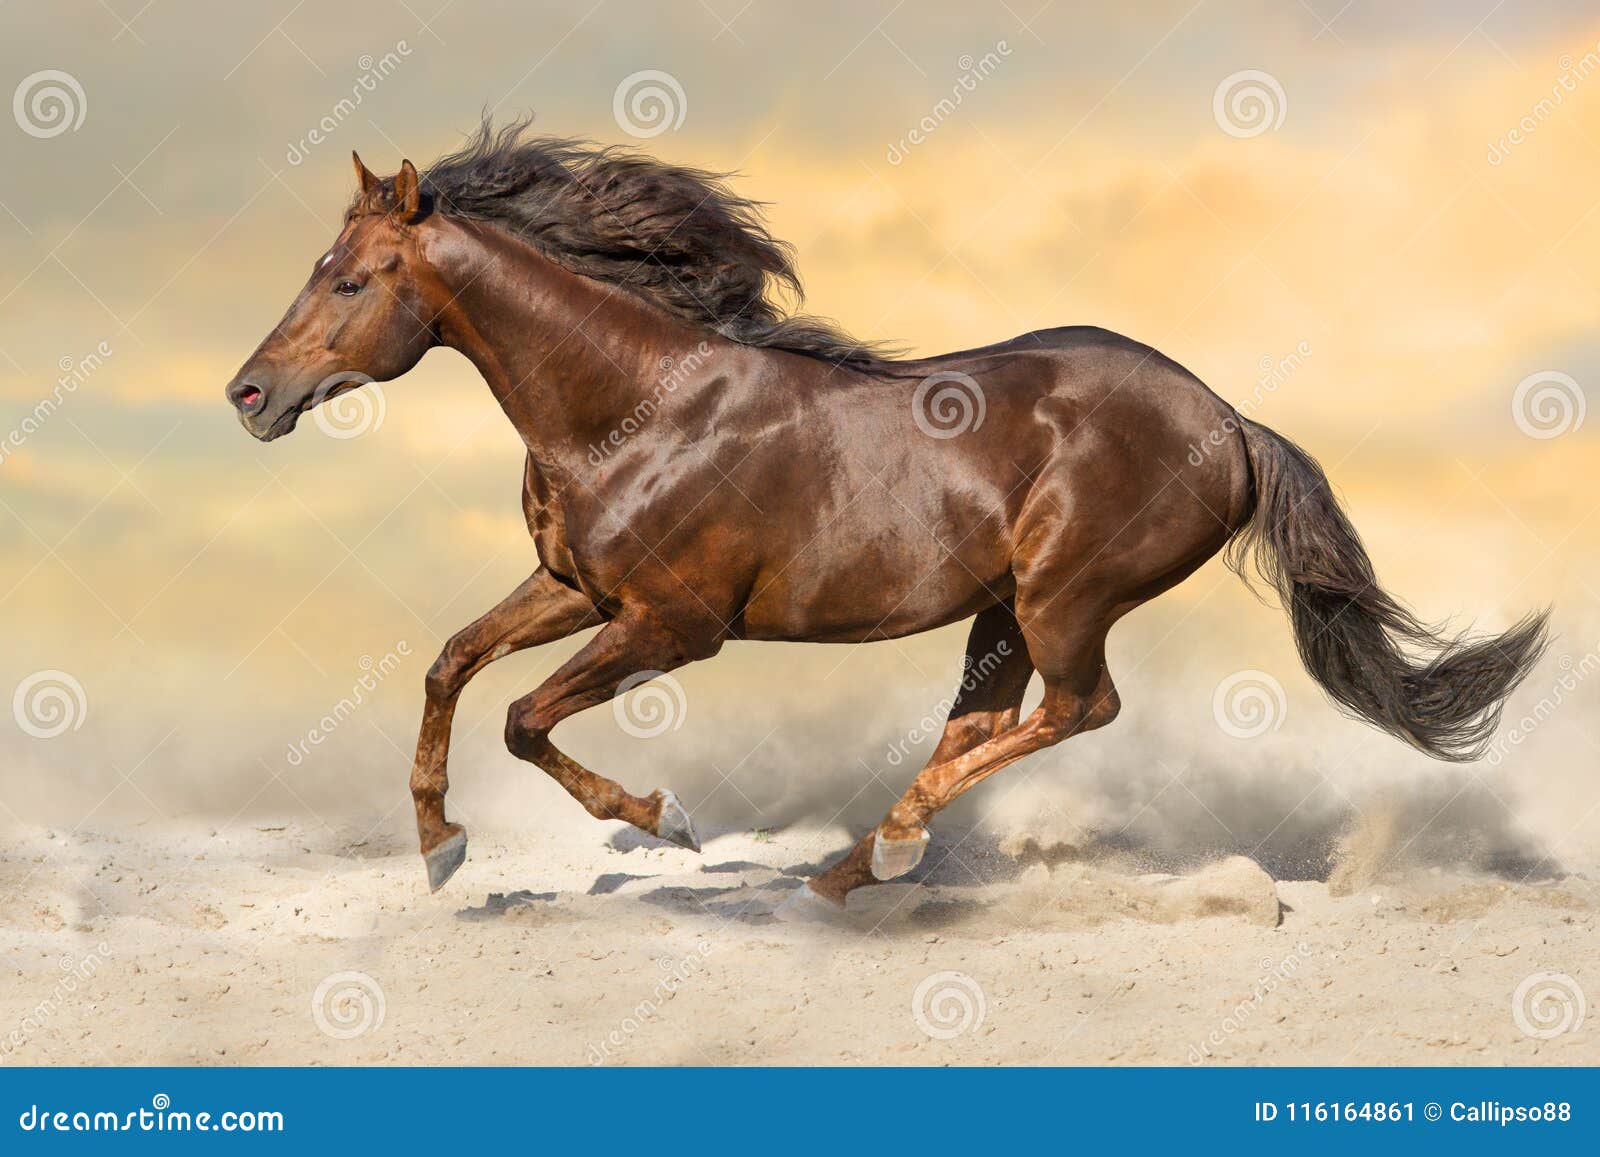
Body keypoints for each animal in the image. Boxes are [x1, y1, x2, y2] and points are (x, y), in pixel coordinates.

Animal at [225, 119, 1548, 912]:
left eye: (350, 279)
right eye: (317, 267)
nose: (249, 394)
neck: (633, 406)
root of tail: (1227, 418)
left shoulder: (670, 626)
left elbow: (521, 717)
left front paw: (664, 820)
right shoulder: (573, 588)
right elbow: (452, 664)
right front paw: (439, 844)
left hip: (1063, 595)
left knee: (1077, 708)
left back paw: (889, 843)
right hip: (1001, 608)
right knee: (993, 717)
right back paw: (850, 866)